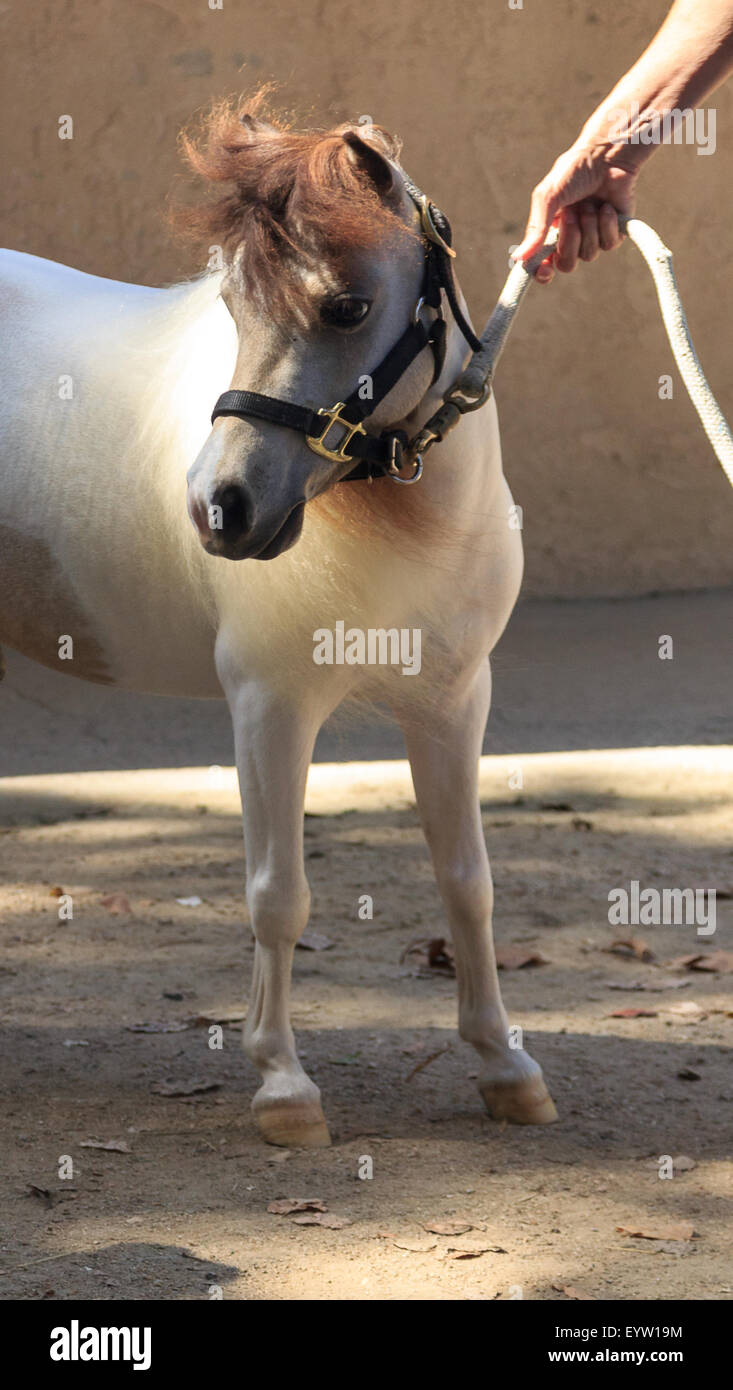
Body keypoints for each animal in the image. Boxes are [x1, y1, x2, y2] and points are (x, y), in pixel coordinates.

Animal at [0, 94, 557, 1147]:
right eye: (230, 305)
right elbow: (278, 896)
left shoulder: (453, 703)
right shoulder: (271, 706)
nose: (222, 507)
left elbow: (466, 880)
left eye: (346, 305)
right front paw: (283, 1088)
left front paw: (505, 1068)